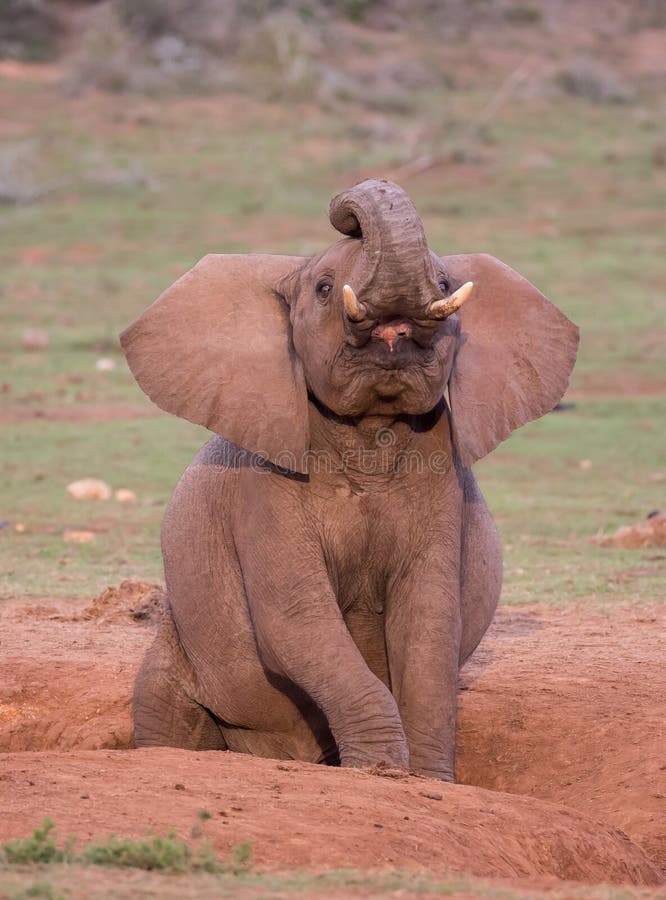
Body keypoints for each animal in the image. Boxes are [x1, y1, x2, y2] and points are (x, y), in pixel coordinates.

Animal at [120, 179, 578, 781]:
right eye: (322, 289)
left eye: (445, 284)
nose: (347, 215)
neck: (368, 431)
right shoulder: (261, 485)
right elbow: (296, 617)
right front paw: (380, 771)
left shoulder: (442, 484)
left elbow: (429, 617)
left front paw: (424, 778)